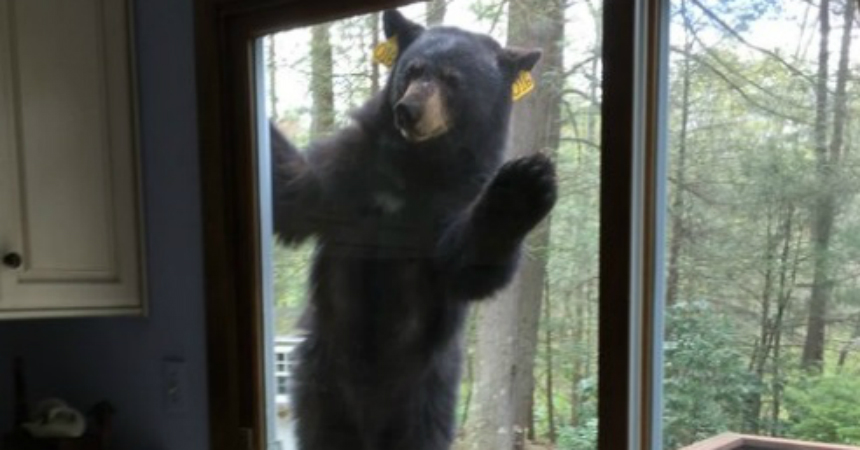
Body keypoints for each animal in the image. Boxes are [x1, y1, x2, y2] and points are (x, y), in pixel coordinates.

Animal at [271, 10, 557, 450]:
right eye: (412, 70)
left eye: (453, 80)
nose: (409, 109)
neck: (417, 165)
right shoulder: (352, 168)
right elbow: (298, 195)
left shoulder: (459, 195)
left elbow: (467, 266)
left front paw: (522, 184)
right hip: (320, 381)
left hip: (424, 394)